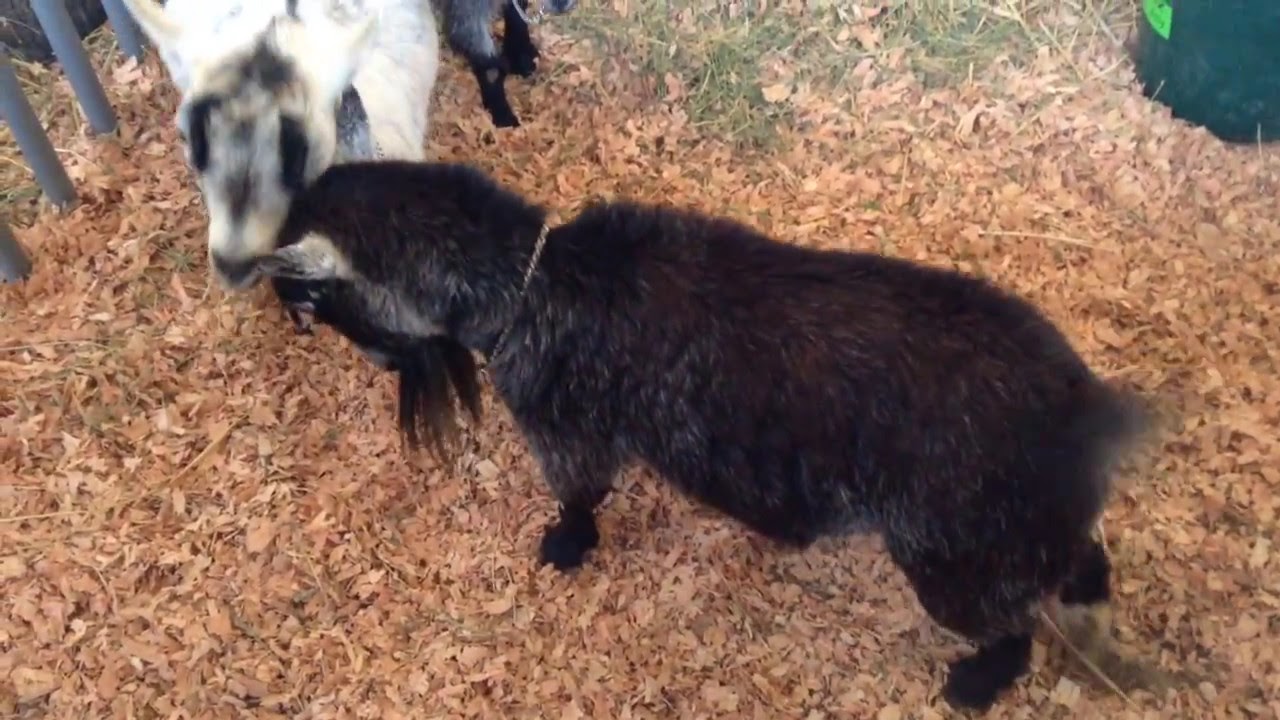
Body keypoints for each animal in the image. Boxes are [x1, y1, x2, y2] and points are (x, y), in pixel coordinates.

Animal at [249, 159, 1176, 713]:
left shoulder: (563, 426)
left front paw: (565, 544)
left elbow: (579, 495)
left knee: (1012, 627)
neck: (534, 274)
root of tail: (1085, 410)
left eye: (322, 300)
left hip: (958, 558)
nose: (286, 307)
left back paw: (981, 681)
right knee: (1082, 562)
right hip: (1027, 528)